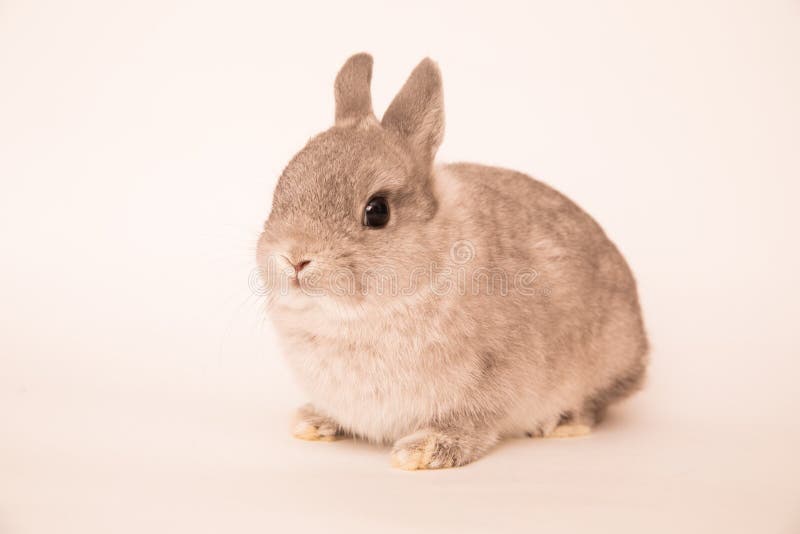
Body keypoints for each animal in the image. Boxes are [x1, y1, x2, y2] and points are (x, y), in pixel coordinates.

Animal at [256, 53, 648, 470]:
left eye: (377, 211)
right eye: (282, 190)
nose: (294, 258)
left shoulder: (489, 382)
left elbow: (471, 422)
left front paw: (423, 451)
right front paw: (313, 421)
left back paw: (561, 422)